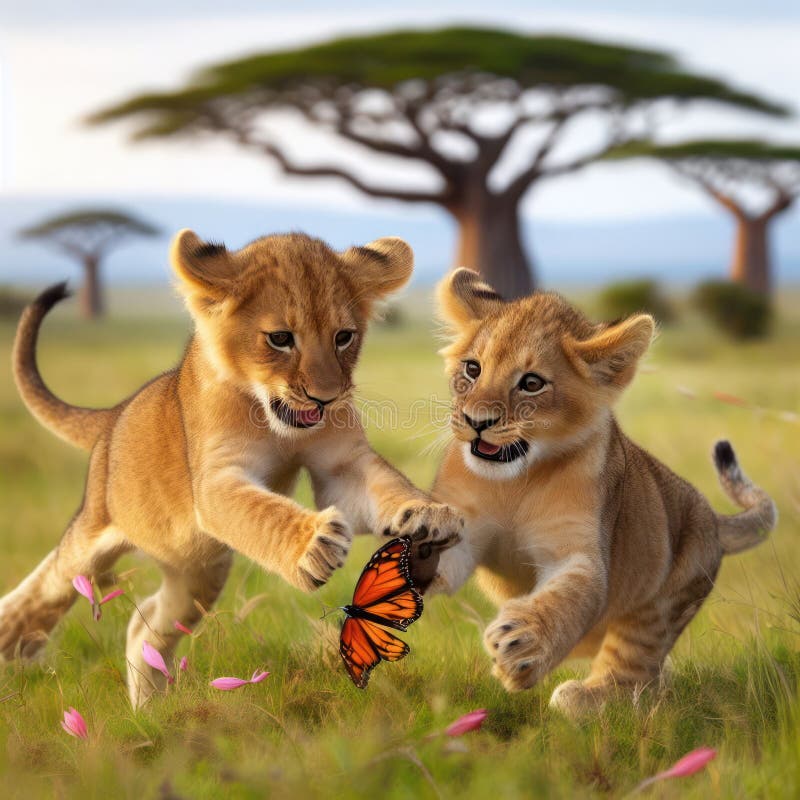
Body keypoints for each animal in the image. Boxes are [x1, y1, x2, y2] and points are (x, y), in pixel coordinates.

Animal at [0, 230, 462, 706]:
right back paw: (13, 640)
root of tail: (114, 416)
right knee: (52, 580)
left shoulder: (340, 464)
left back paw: (148, 709)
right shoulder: (214, 482)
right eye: (280, 338)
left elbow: (384, 486)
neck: (273, 422)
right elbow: (262, 512)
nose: (326, 397)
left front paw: (428, 513)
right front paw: (313, 546)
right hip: (95, 531)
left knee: (147, 624)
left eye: (344, 336)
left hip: (198, 572)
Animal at [422, 268, 776, 718]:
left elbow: (570, 597)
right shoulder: (462, 521)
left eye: (531, 383)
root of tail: (714, 520)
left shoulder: (580, 551)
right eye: (472, 368)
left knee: (636, 676)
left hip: (660, 606)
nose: (476, 421)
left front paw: (522, 645)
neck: (512, 482)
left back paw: (584, 698)